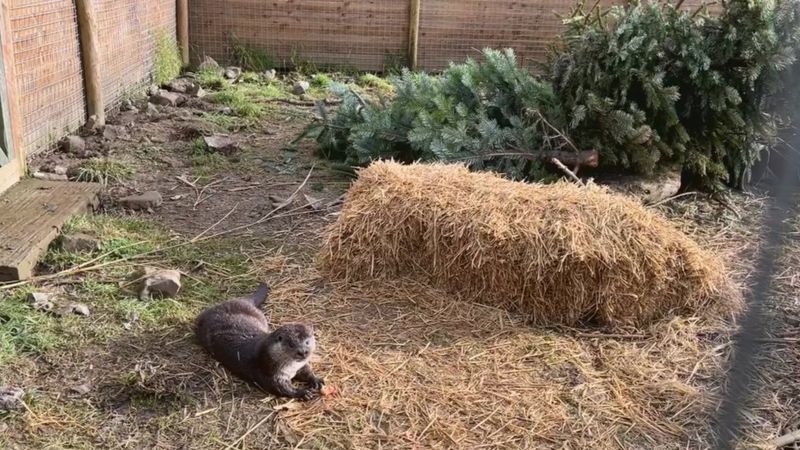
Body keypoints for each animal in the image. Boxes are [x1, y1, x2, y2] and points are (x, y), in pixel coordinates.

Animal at [195, 283, 324, 400]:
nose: (303, 351)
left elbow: (306, 370)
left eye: (307, 342)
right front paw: (302, 392)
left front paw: (316, 379)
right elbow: (281, 388)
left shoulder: (299, 365)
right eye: (291, 344)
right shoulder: (270, 374)